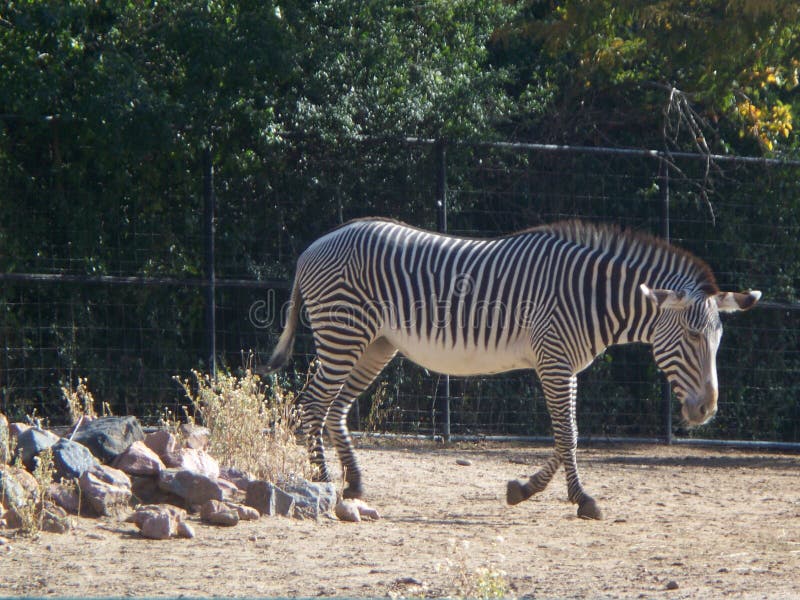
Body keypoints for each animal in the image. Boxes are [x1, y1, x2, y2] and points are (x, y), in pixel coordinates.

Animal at [262, 217, 760, 519]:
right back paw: (323, 486)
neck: (591, 297)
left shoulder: (566, 365)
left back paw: (354, 484)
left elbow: (566, 437)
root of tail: (314, 246)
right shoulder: (554, 359)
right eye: (693, 337)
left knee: (335, 410)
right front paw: (583, 500)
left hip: (375, 344)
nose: (706, 411)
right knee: (312, 406)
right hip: (343, 335)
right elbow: (568, 435)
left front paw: (523, 488)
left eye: (718, 339)